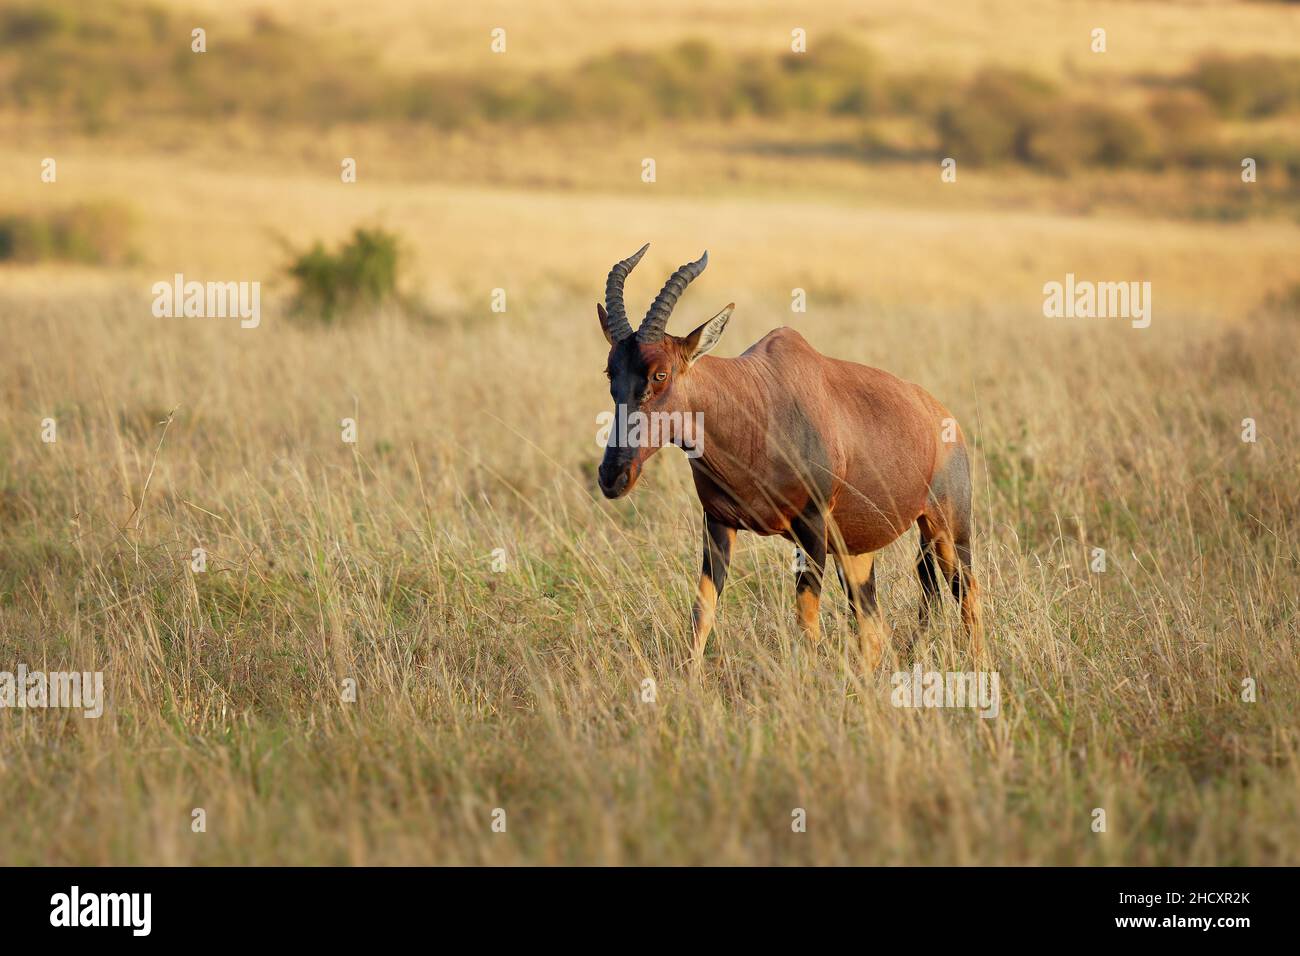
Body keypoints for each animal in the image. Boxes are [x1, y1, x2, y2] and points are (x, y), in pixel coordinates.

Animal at [596, 245, 983, 669]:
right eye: (610, 371)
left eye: (660, 374)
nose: (613, 476)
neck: (755, 401)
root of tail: (942, 416)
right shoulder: (717, 522)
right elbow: (702, 611)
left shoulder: (810, 525)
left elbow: (806, 618)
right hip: (857, 550)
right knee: (872, 628)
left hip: (948, 530)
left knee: (968, 595)